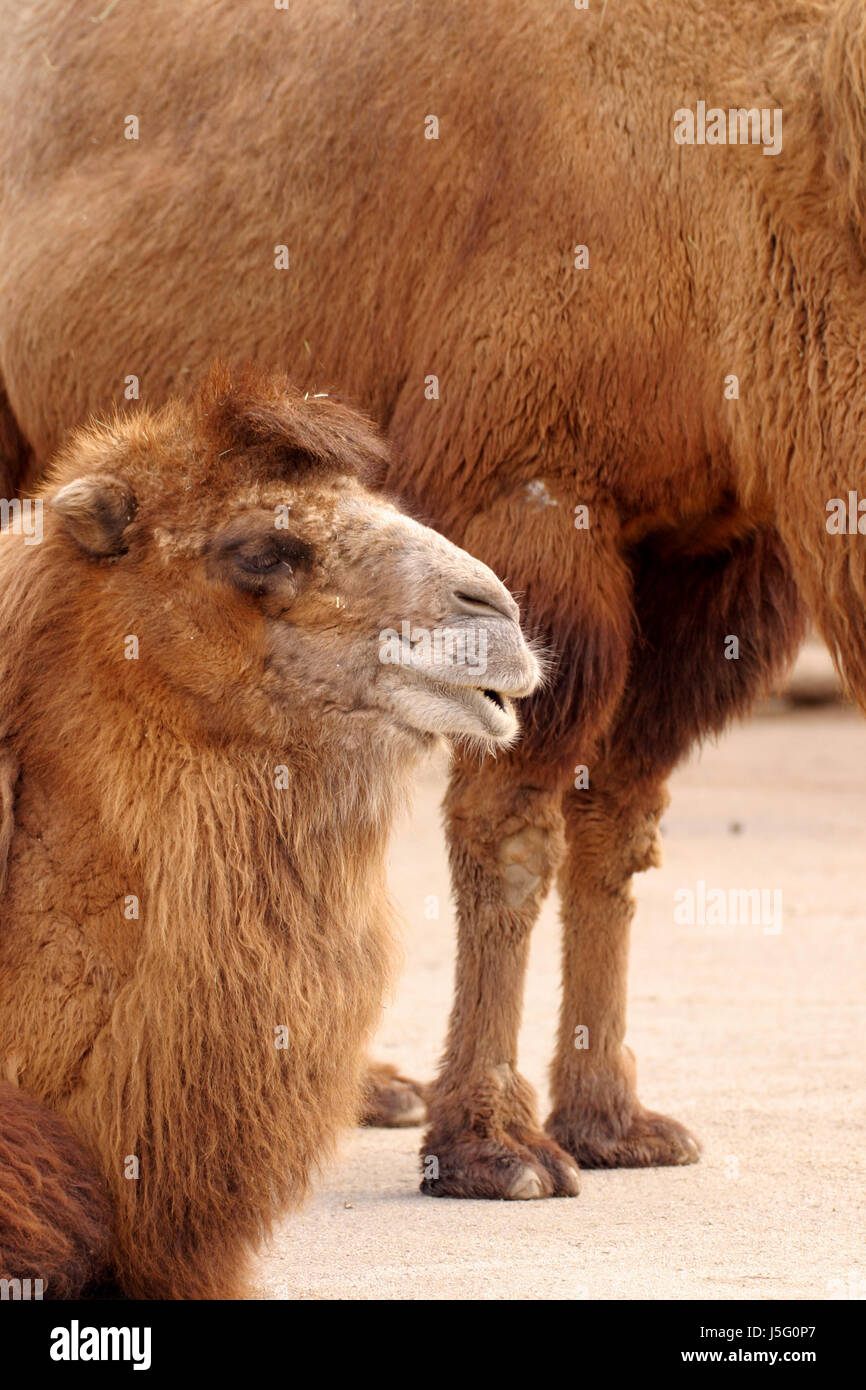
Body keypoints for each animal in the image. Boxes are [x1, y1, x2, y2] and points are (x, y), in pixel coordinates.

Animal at [0, 0, 863, 1199]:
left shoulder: (718, 548)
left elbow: (618, 826)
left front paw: (612, 1120)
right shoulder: (533, 487)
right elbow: (509, 828)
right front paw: (493, 1144)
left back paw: (366, 1084)